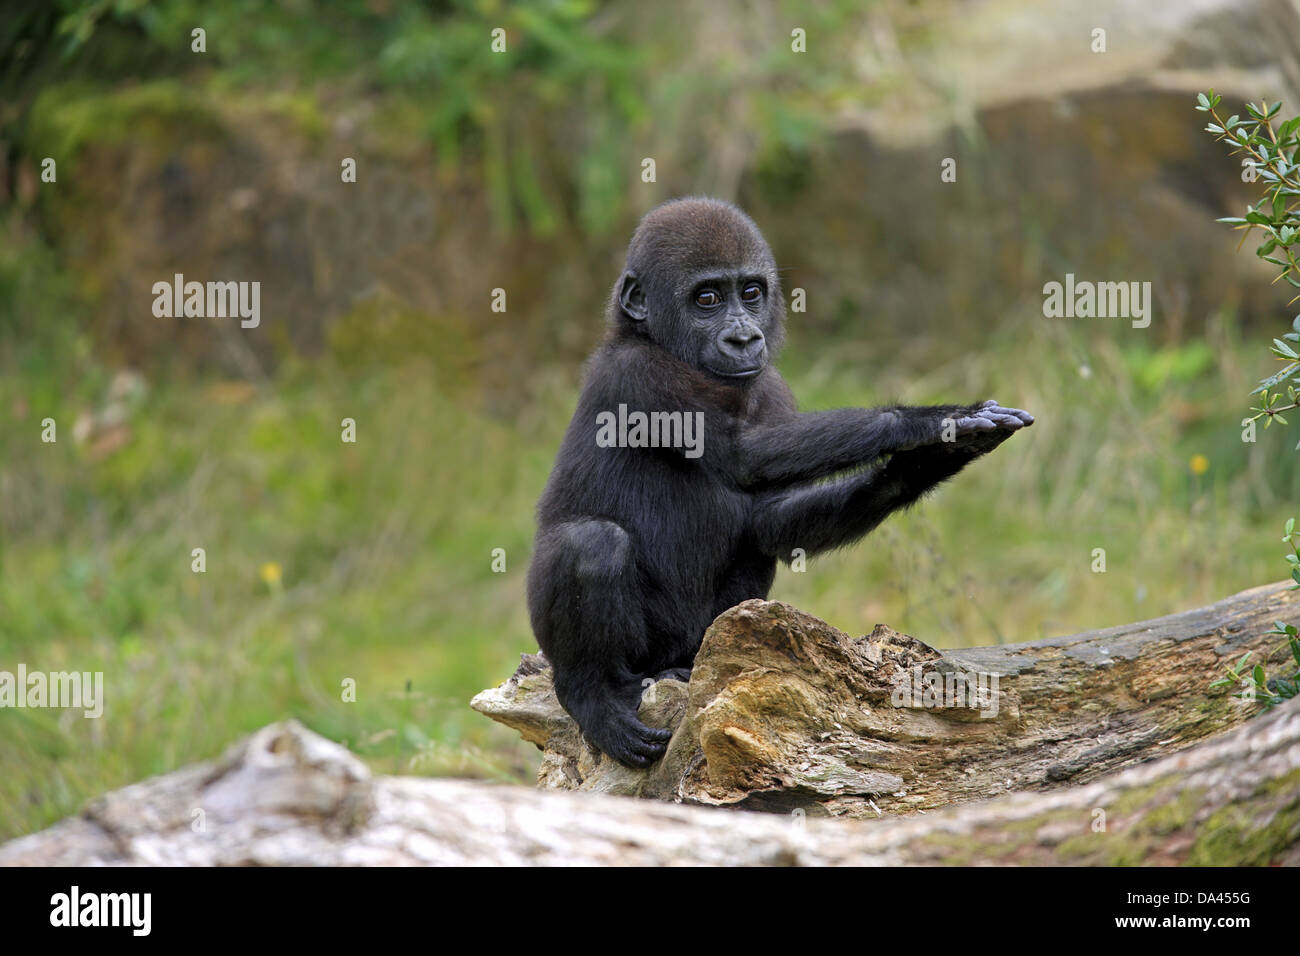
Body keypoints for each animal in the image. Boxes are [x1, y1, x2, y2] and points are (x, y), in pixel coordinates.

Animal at [526, 197, 1033, 768]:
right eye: (706, 298)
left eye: (750, 293)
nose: (745, 337)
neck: (653, 339)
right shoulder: (638, 374)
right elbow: (741, 454)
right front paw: (927, 421)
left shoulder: (770, 385)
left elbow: (768, 519)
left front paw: (925, 464)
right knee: (591, 542)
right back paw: (591, 695)